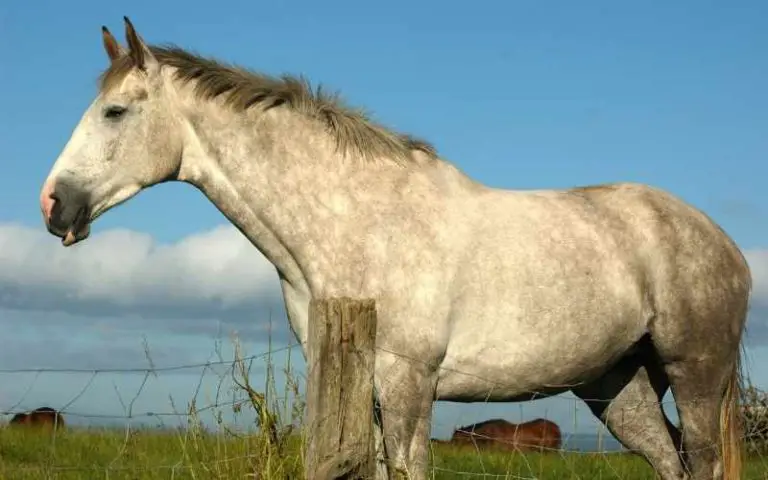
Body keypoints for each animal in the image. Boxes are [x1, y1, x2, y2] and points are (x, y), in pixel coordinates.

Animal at [37, 17, 750, 480]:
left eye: (116, 112)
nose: (52, 205)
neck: (358, 222)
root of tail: (725, 245)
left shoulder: (410, 385)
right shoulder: (369, 392)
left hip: (695, 377)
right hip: (619, 390)